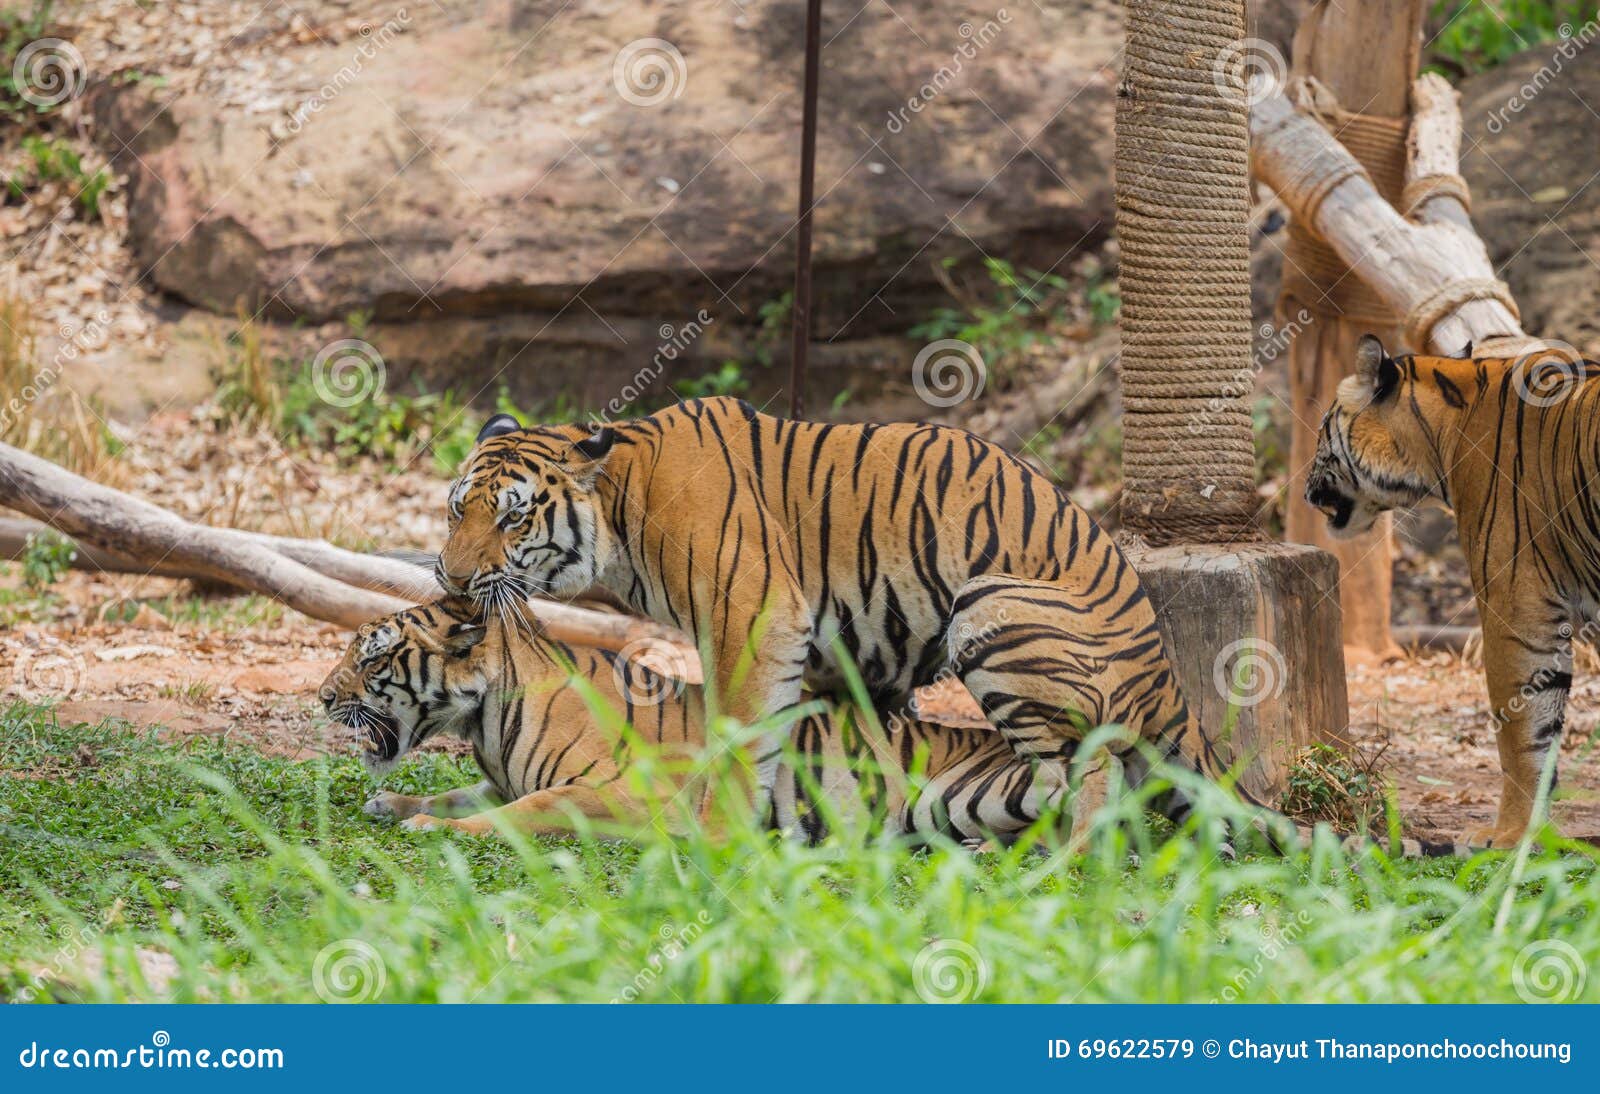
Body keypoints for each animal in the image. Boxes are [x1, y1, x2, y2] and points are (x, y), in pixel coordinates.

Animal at [318, 598, 1081, 843]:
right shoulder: (494, 777)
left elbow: (523, 811)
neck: (482, 721)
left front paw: (427, 827)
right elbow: (459, 791)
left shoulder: (626, 793)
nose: (323, 697)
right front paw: (394, 803)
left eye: (372, 653)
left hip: (972, 792)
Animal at [435, 395, 1247, 826]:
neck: (618, 514)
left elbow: (739, 734)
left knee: (1094, 772)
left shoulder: (753, 617)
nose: (450, 575)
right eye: (455, 509)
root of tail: (1160, 659)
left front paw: (718, 832)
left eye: (512, 518)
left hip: (992, 606)